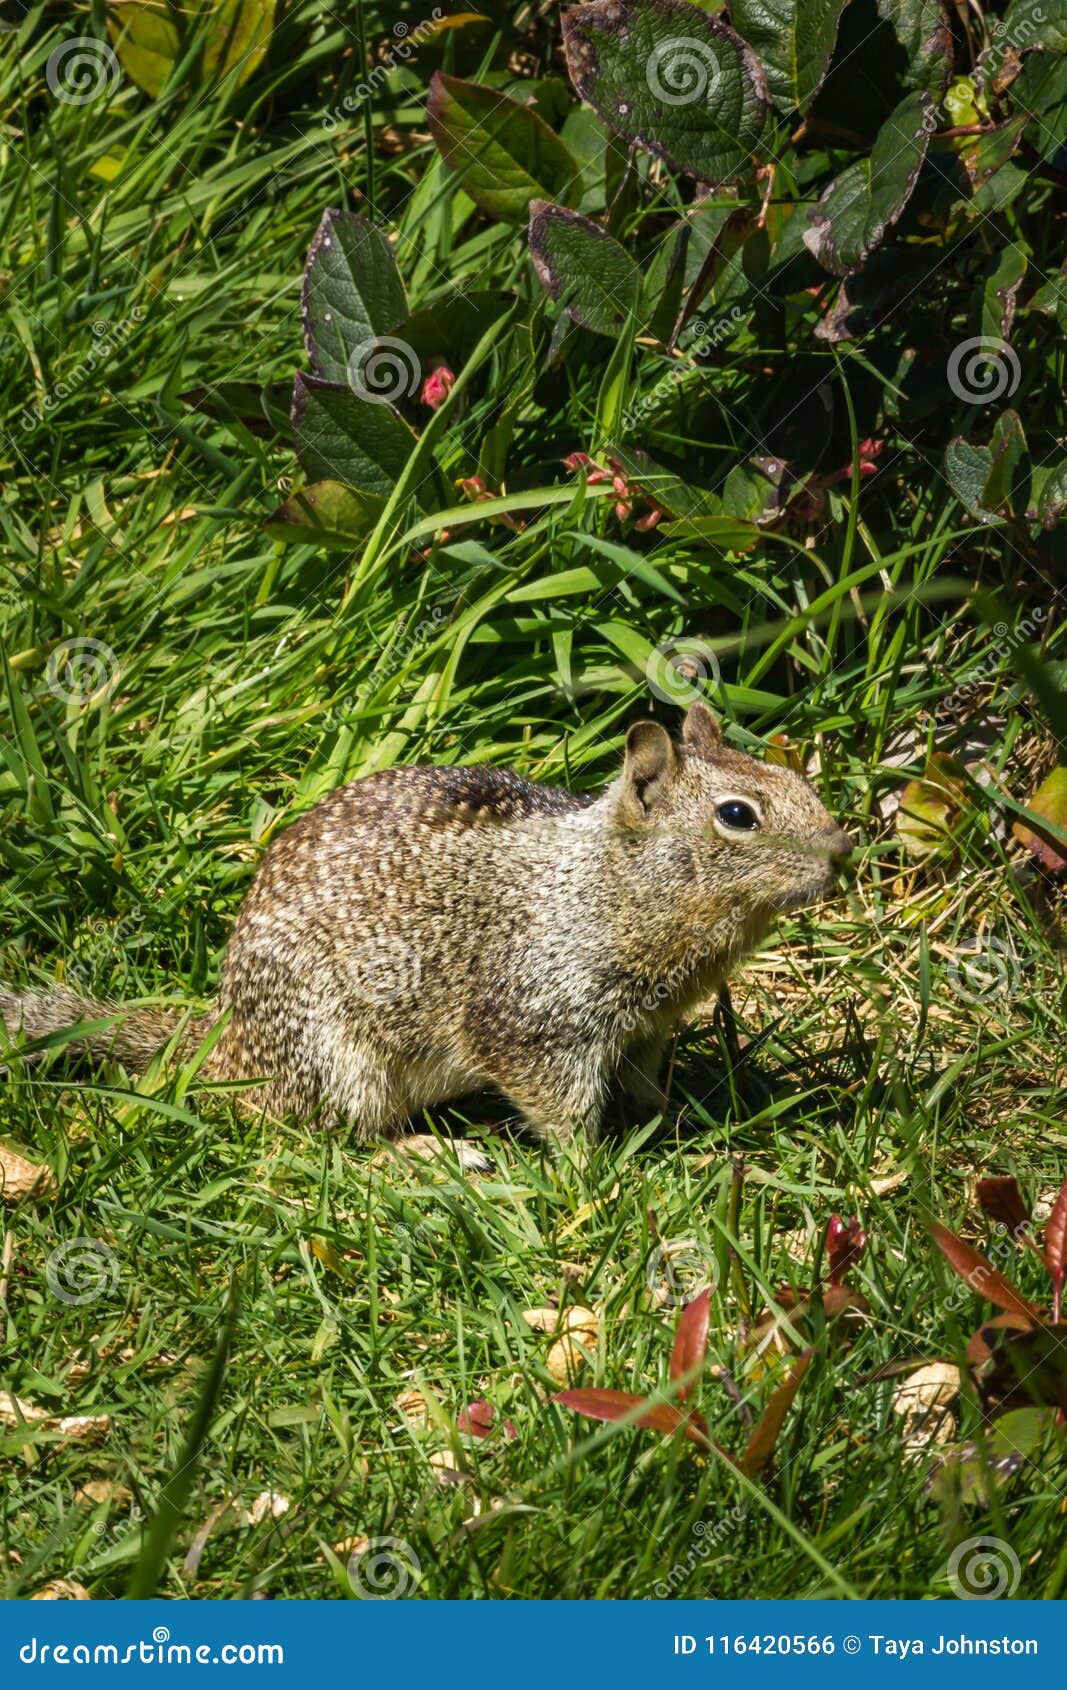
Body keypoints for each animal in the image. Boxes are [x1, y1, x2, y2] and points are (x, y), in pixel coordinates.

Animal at [1, 703, 852, 1146]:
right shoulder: (537, 1020)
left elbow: (644, 1082)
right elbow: (561, 1109)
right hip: (340, 1065)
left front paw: (673, 1122)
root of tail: (224, 1044)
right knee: (320, 1139)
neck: (604, 888)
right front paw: (595, 1174)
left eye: (792, 777)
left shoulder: (646, 1028)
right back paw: (422, 1156)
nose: (843, 850)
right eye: (737, 815)